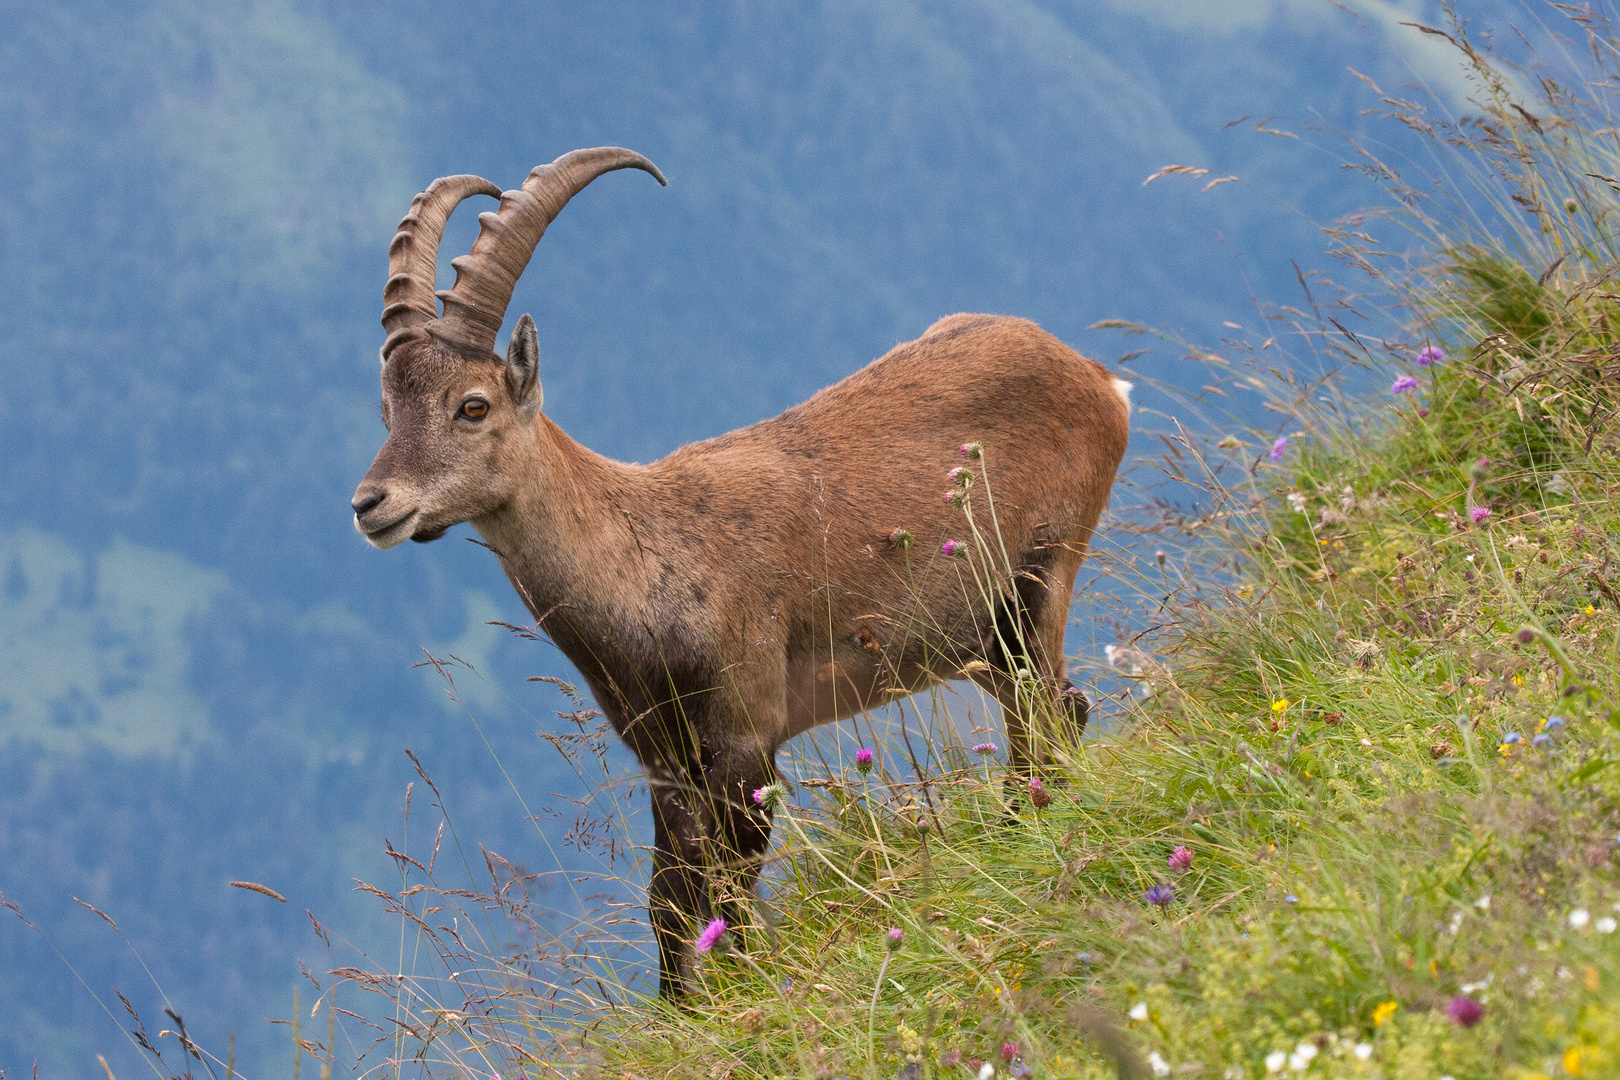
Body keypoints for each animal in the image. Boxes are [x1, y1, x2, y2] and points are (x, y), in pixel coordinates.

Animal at [351, 147, 1131, 997]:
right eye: (389, 411)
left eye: (472, 405)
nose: (371, 504)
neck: (647, 558)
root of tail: (1095, 375)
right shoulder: (666, 763)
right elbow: (667, 902)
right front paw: (681, 1009)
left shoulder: (746, 741)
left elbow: (724, 893)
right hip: (982, 637)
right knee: (1061, 711)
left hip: (1039, 582)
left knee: (1045, 720)